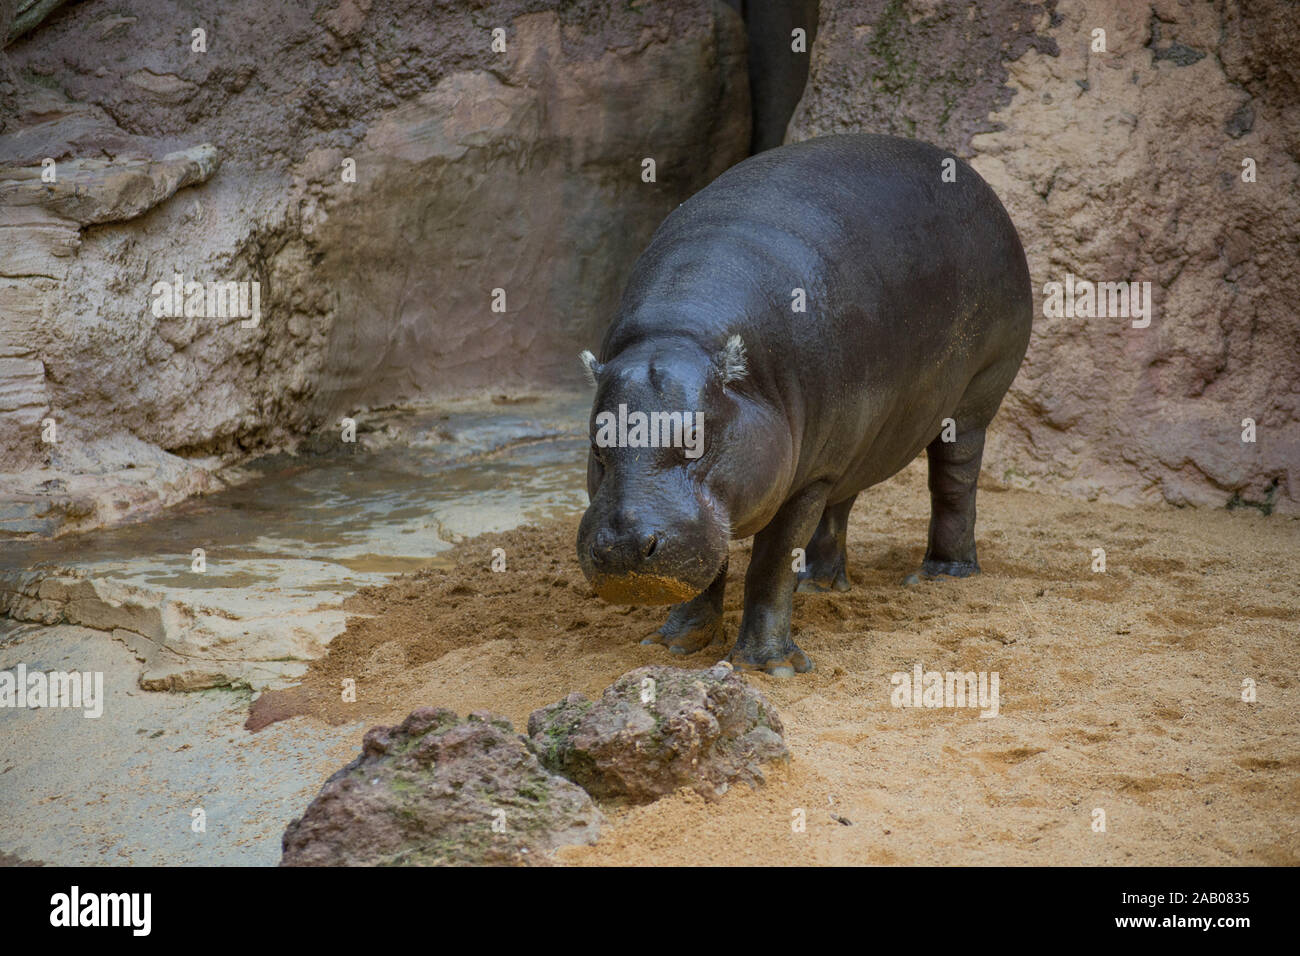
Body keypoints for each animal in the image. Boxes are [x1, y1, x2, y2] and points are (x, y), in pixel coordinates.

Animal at [576, 133, 1032, 677]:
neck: (680, 333)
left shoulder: (801, 479)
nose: (624, 547)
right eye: (597, 448)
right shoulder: (751, 488)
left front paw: (770, 667)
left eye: (695, 441)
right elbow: (710, 564)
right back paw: (817, 583)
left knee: (954, 482)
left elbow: (769, 565)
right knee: (843, 502)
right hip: (851, 435)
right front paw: (672, 646)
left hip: (974, 397)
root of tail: (975, 180)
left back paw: (940, 575)